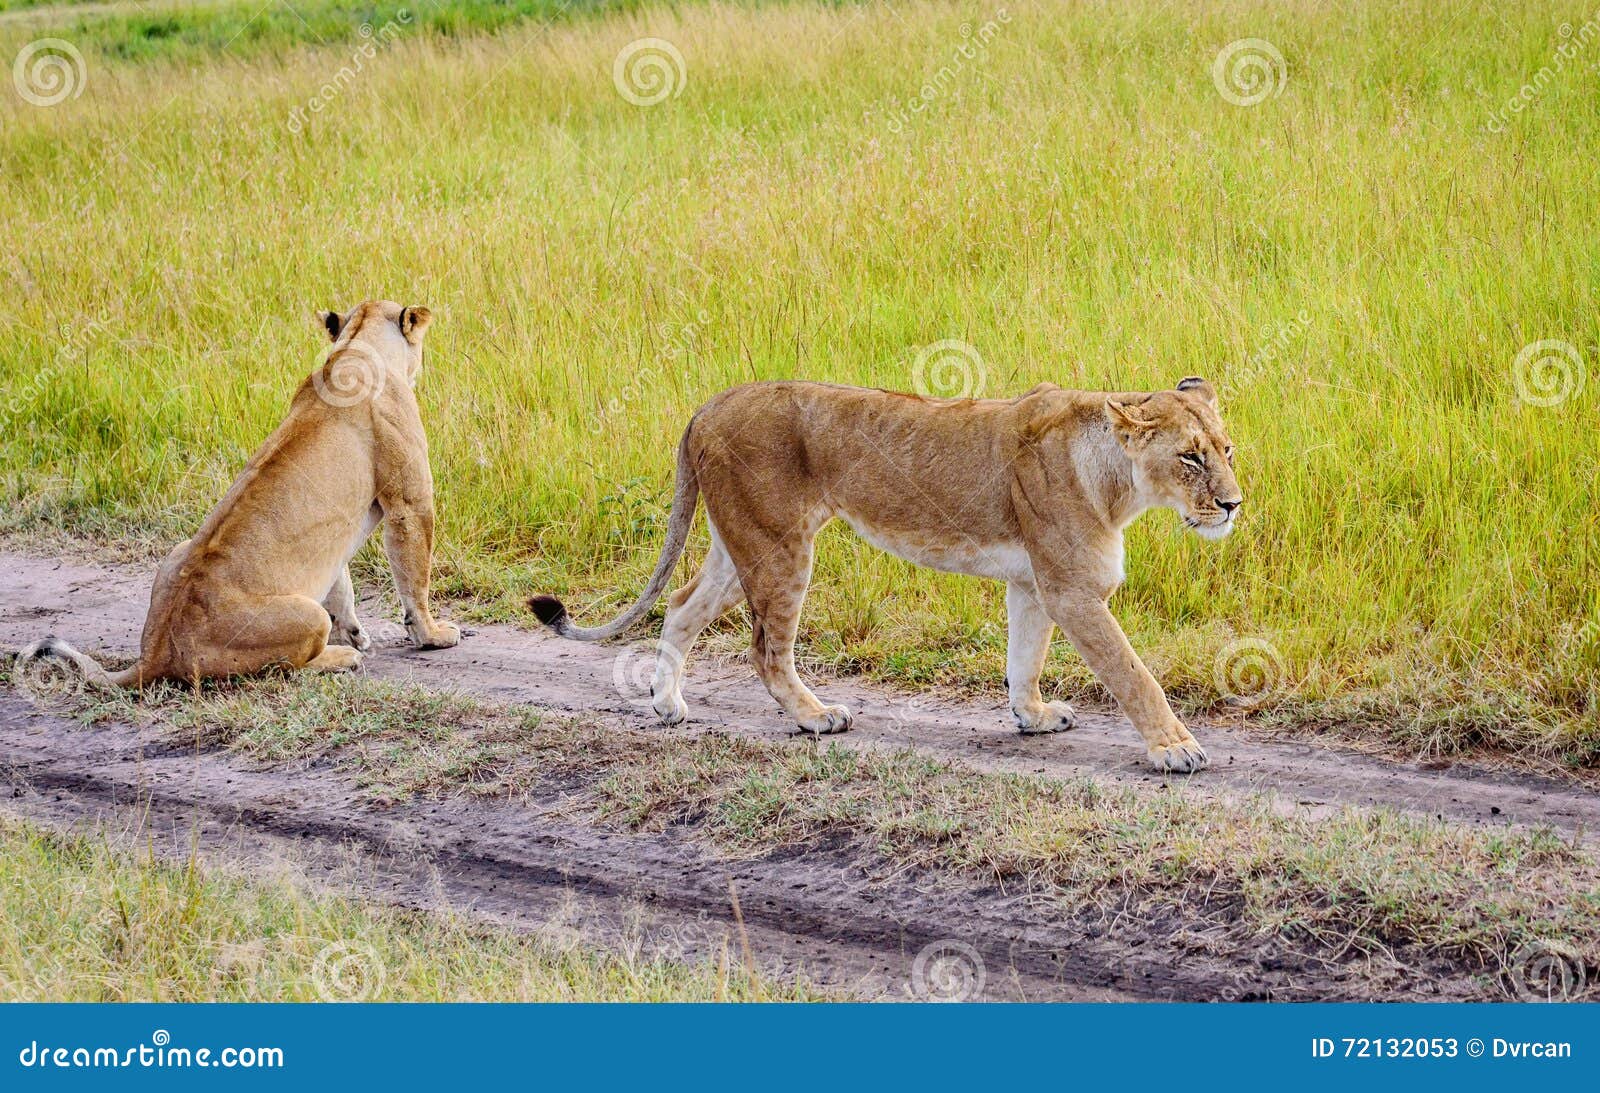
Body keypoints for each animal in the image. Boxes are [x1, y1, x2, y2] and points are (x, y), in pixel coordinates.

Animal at [19, 300, 461, 689]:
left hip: (177, 552)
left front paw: (353, 632)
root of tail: (155, 653)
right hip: (306, 615)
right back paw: (340, 658)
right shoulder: (409, 504)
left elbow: (340, 583)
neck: (354, 347)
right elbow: (414, 578)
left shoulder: (337, 536)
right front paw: (431, 635)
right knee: (287, 668)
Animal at [532, 377, 1240, 772]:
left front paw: (1032, 717)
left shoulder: (1033, 583)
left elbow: (1025, 658)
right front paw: (1176, 749)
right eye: (1189, 458)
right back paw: (816, 717)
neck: (1119, 480)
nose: (1233, 504)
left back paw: (667, 704)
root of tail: (710, 404)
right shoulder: (1071, 590)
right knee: (766, 649)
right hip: (780, 546)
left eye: (1227, 451)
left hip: (739, 545)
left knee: (681, 605)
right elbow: (1134, 674)